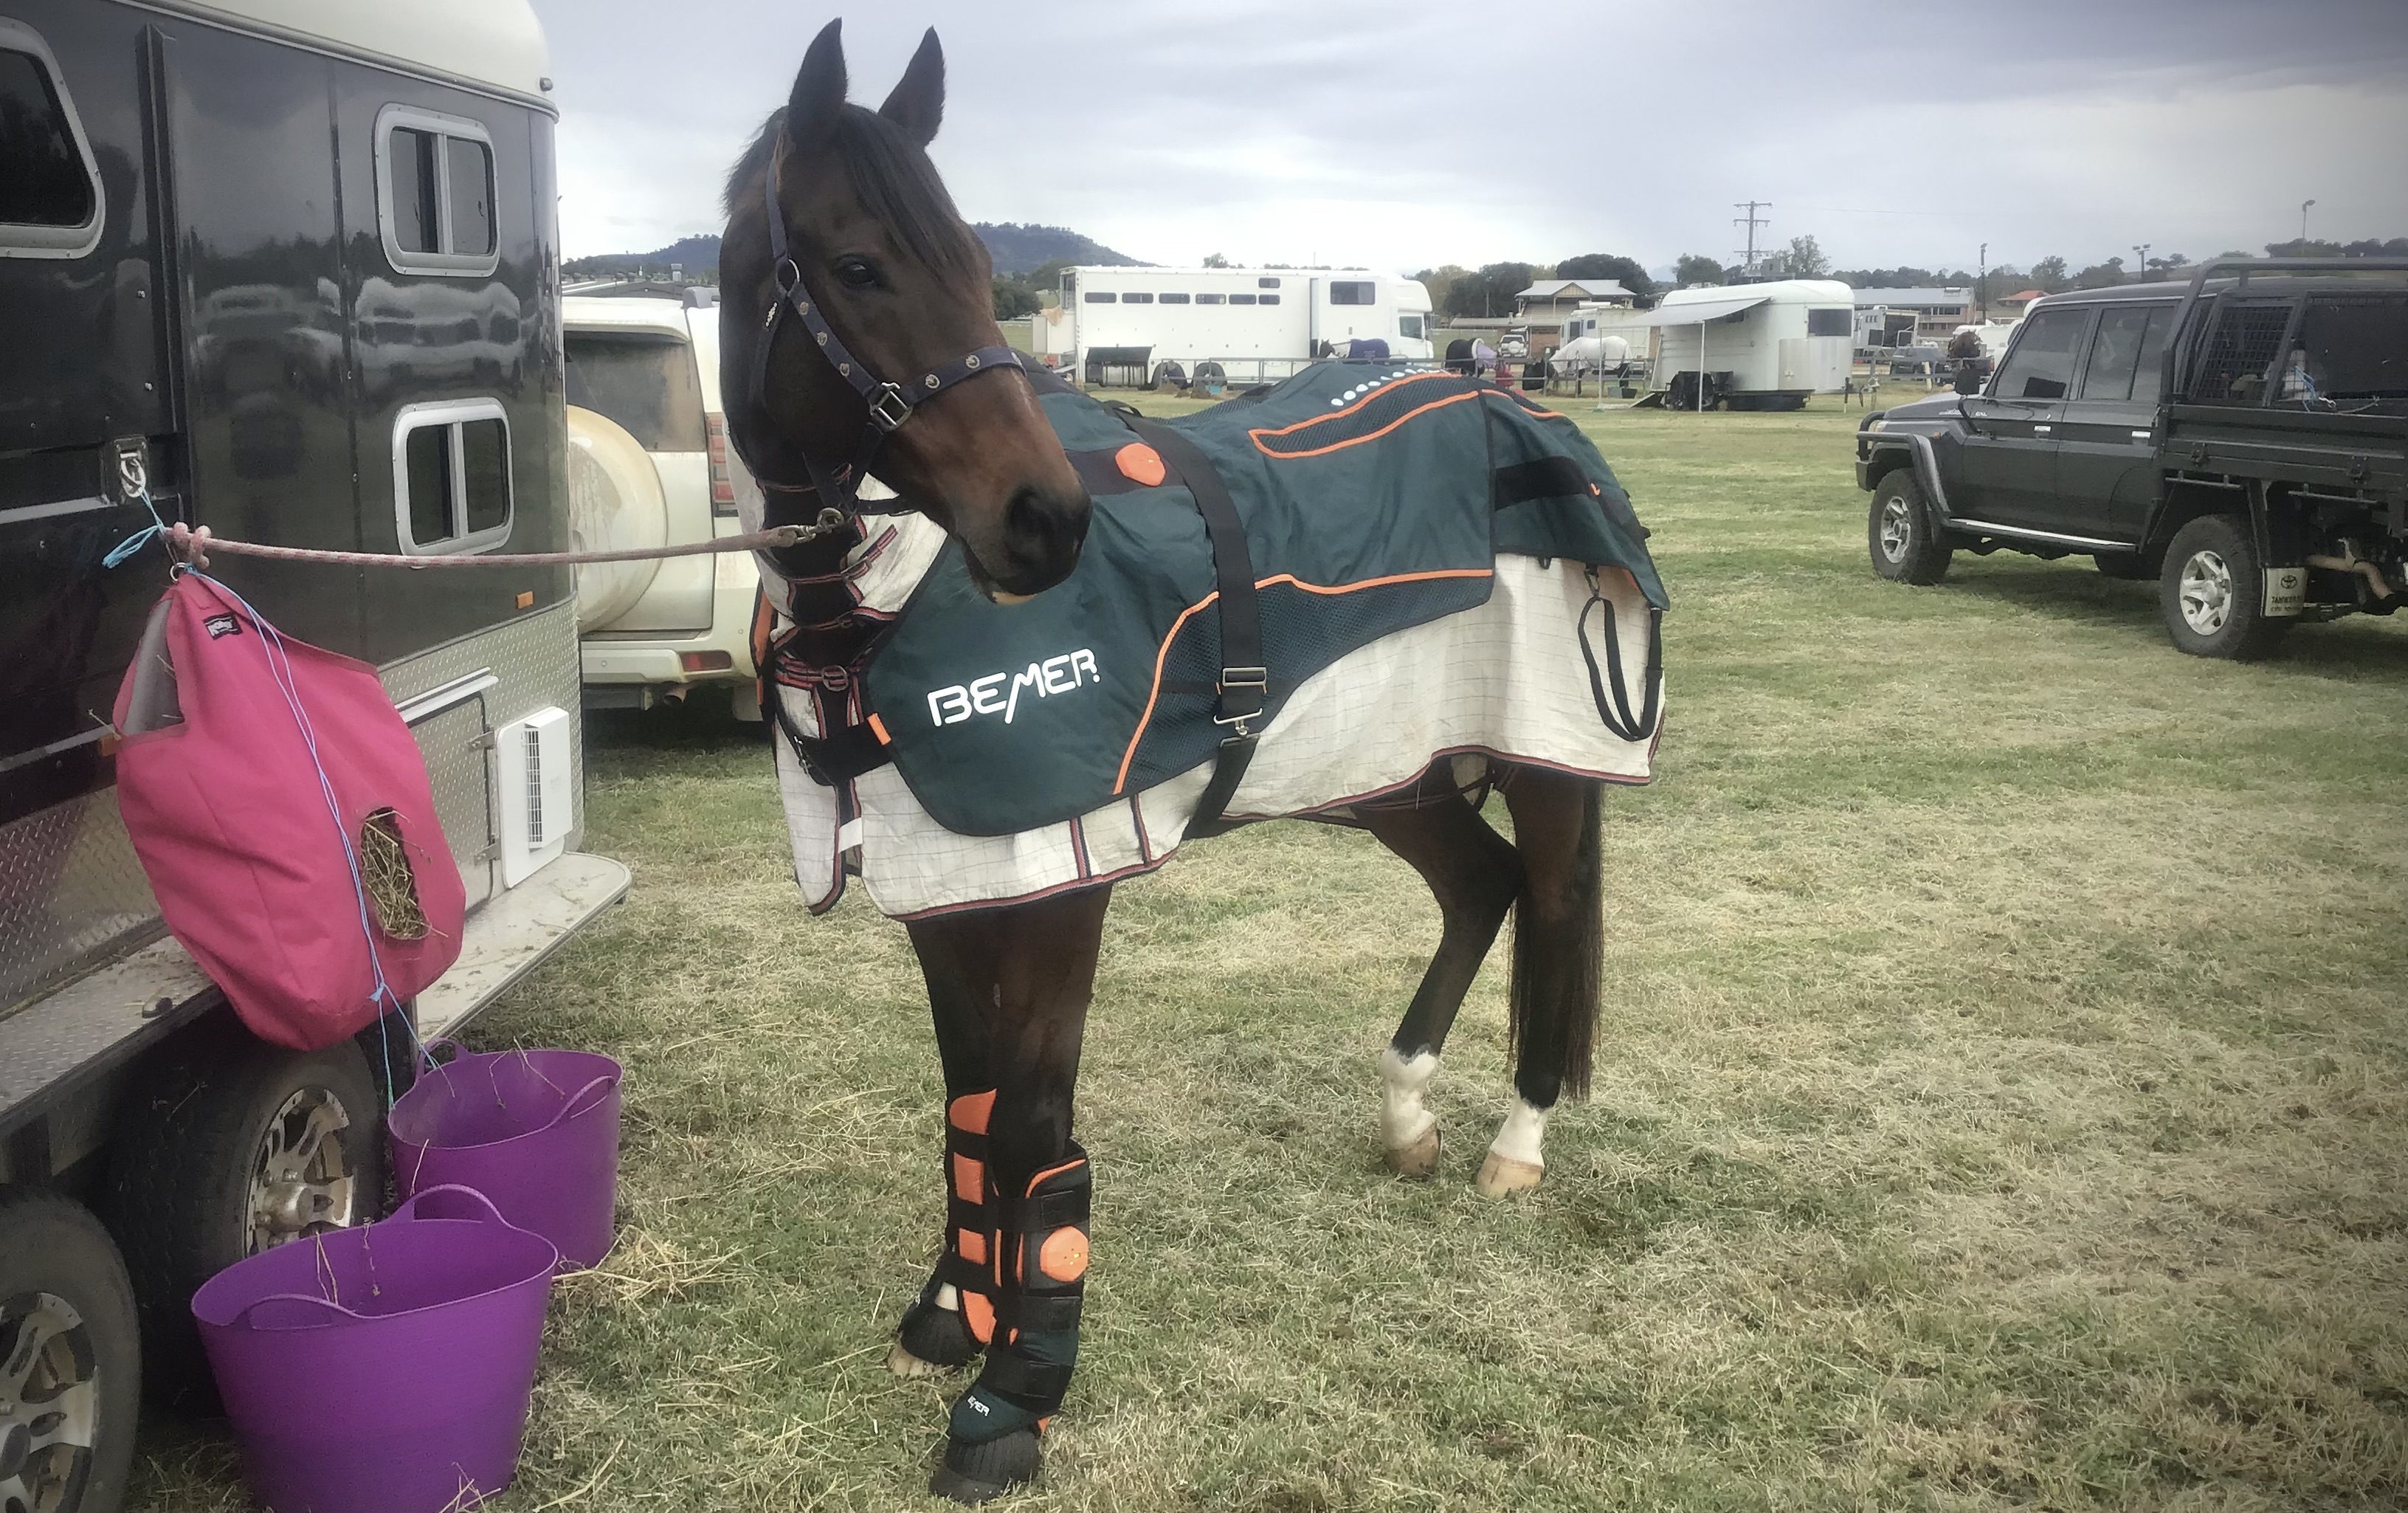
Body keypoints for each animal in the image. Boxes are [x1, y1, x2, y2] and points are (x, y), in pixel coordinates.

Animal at [717, 21, 1655, 1501]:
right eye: (860, 267)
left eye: (978, 267)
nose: (1041, 522)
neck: (882, 609)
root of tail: (1534, 424)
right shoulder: (943, 891)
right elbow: (967, 1104)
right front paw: (953, 1309)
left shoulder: (1060, 886)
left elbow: (1031, 1129)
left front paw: (1012, 1397)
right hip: (1391, 776)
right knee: (1479, 888)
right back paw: (1406, 1113)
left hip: (1550, 759)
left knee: (1550, 910)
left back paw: (1515, 1140)